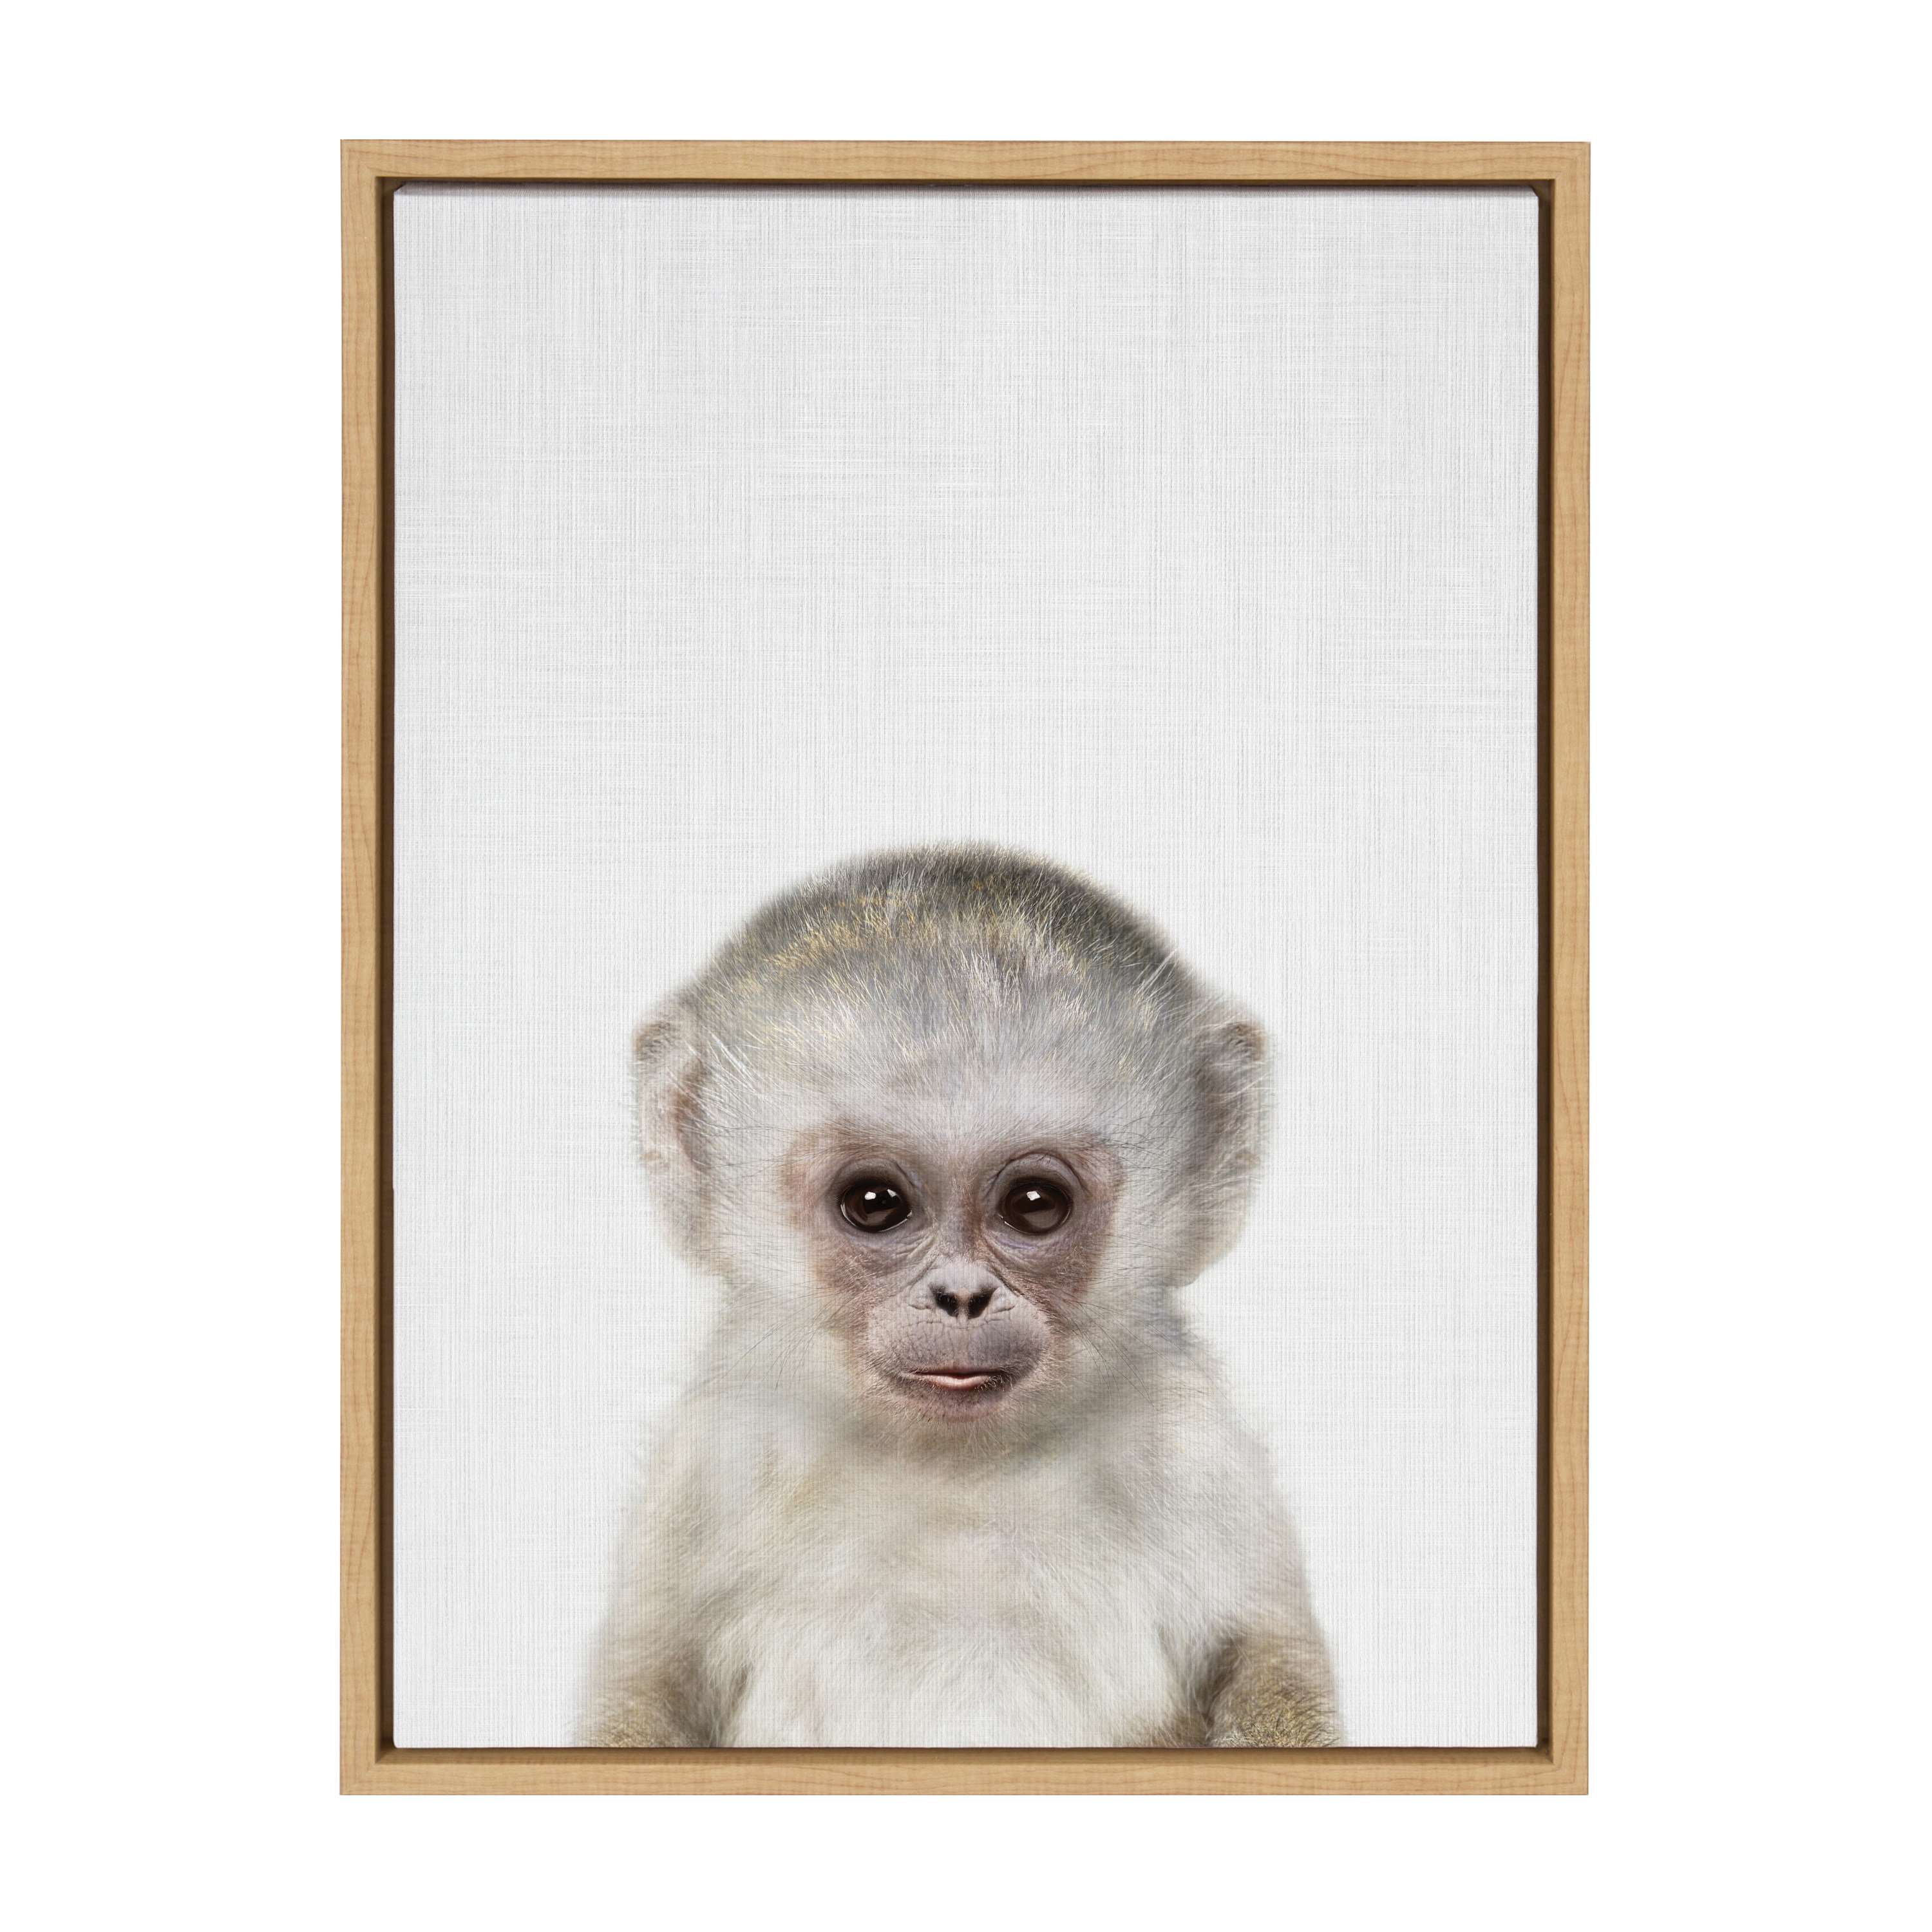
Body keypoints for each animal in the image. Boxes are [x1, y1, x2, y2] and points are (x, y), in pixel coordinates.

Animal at [580, 846, 1339, 1749]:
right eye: (875, 1204)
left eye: (1035, 1205)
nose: (963, 1297)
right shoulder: (711, 1457)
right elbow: (646, 1687)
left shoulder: (1196, 1449)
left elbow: (1269, 1661)